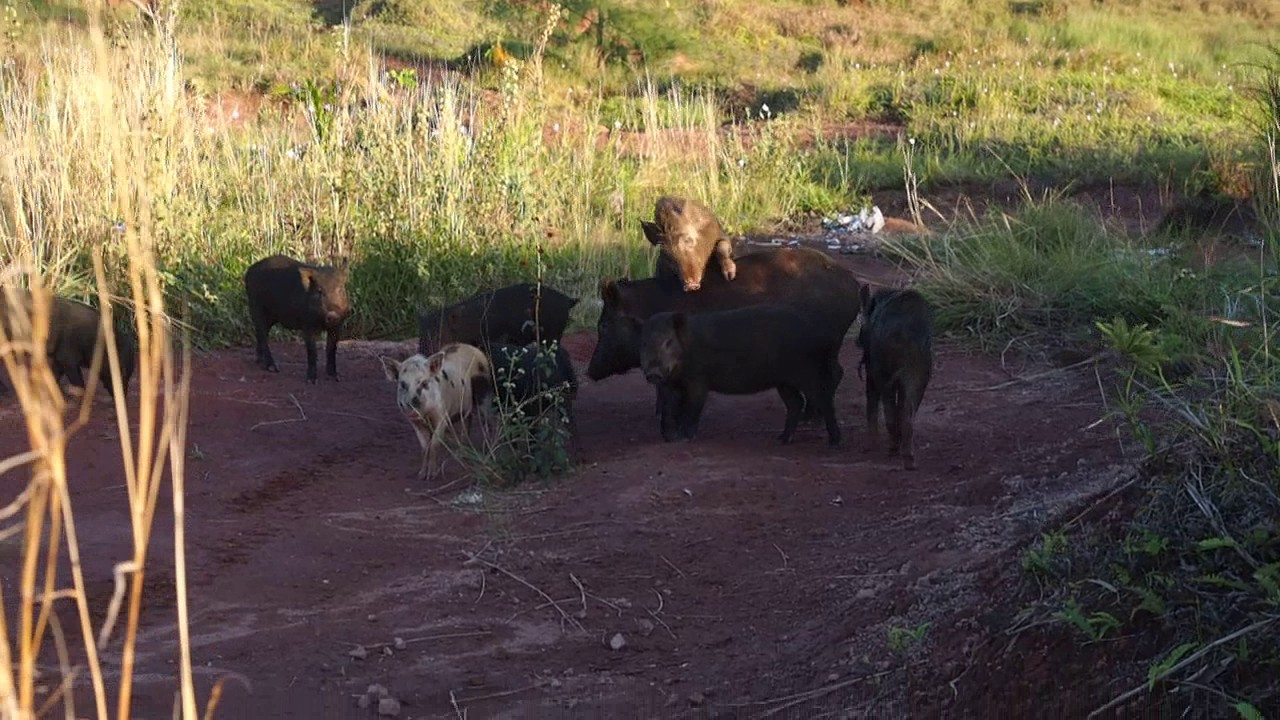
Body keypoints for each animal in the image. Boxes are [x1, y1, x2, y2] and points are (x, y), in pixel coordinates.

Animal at [0, 286, 137, 397]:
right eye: (120, 369)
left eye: (130, 372)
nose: (123, 396)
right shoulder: (67, 359)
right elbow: (78, 381)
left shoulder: (59, 359)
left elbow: (56, 375)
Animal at [243, 254, 351, 384]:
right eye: (319, 291)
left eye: (340, 289)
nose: (332, 314)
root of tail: (249, 271)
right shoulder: (307, 324)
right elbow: (312, 350)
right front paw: (311, 381)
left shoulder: (338, 325)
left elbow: (331, 349)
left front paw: (335, 377)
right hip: (256, 307)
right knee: (262, 335)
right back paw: (273, 368)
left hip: (271, 316)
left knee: (260, 333)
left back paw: (260, 362)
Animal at [380, 343, 492, 481]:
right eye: (403, 384)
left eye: (424, 383)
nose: (413, 401)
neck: (424, 414)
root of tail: (474, 348)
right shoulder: (415, 423)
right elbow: (424, 447)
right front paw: (421, 475)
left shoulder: (442, 416)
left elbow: (434, 444)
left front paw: (431, 476)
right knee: (468, 418)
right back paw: (463, 450)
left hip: (484, 390)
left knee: (486, 421)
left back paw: (487, 450)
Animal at [640, 305, 841, 446]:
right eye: (644, 344)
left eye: (668, 341)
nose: (654, 373)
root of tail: (824, 334)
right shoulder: (672, 383)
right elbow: (670, 407)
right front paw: (671, 438)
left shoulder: (699, 380)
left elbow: (693, 407)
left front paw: (685, 438)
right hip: (784, 381)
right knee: (796, 402)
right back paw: (782, 440)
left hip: (808, 371)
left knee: (823, 398)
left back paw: (834, 443)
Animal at [856, 286, 934, 470]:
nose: (857, 341)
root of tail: (905, 333)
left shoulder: (872, 373)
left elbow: (872, 408)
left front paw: (871, 443)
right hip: (919, 377)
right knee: (907, 417)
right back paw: (909, 458)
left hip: (885, 375)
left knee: (890, 414)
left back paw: (893, 449)